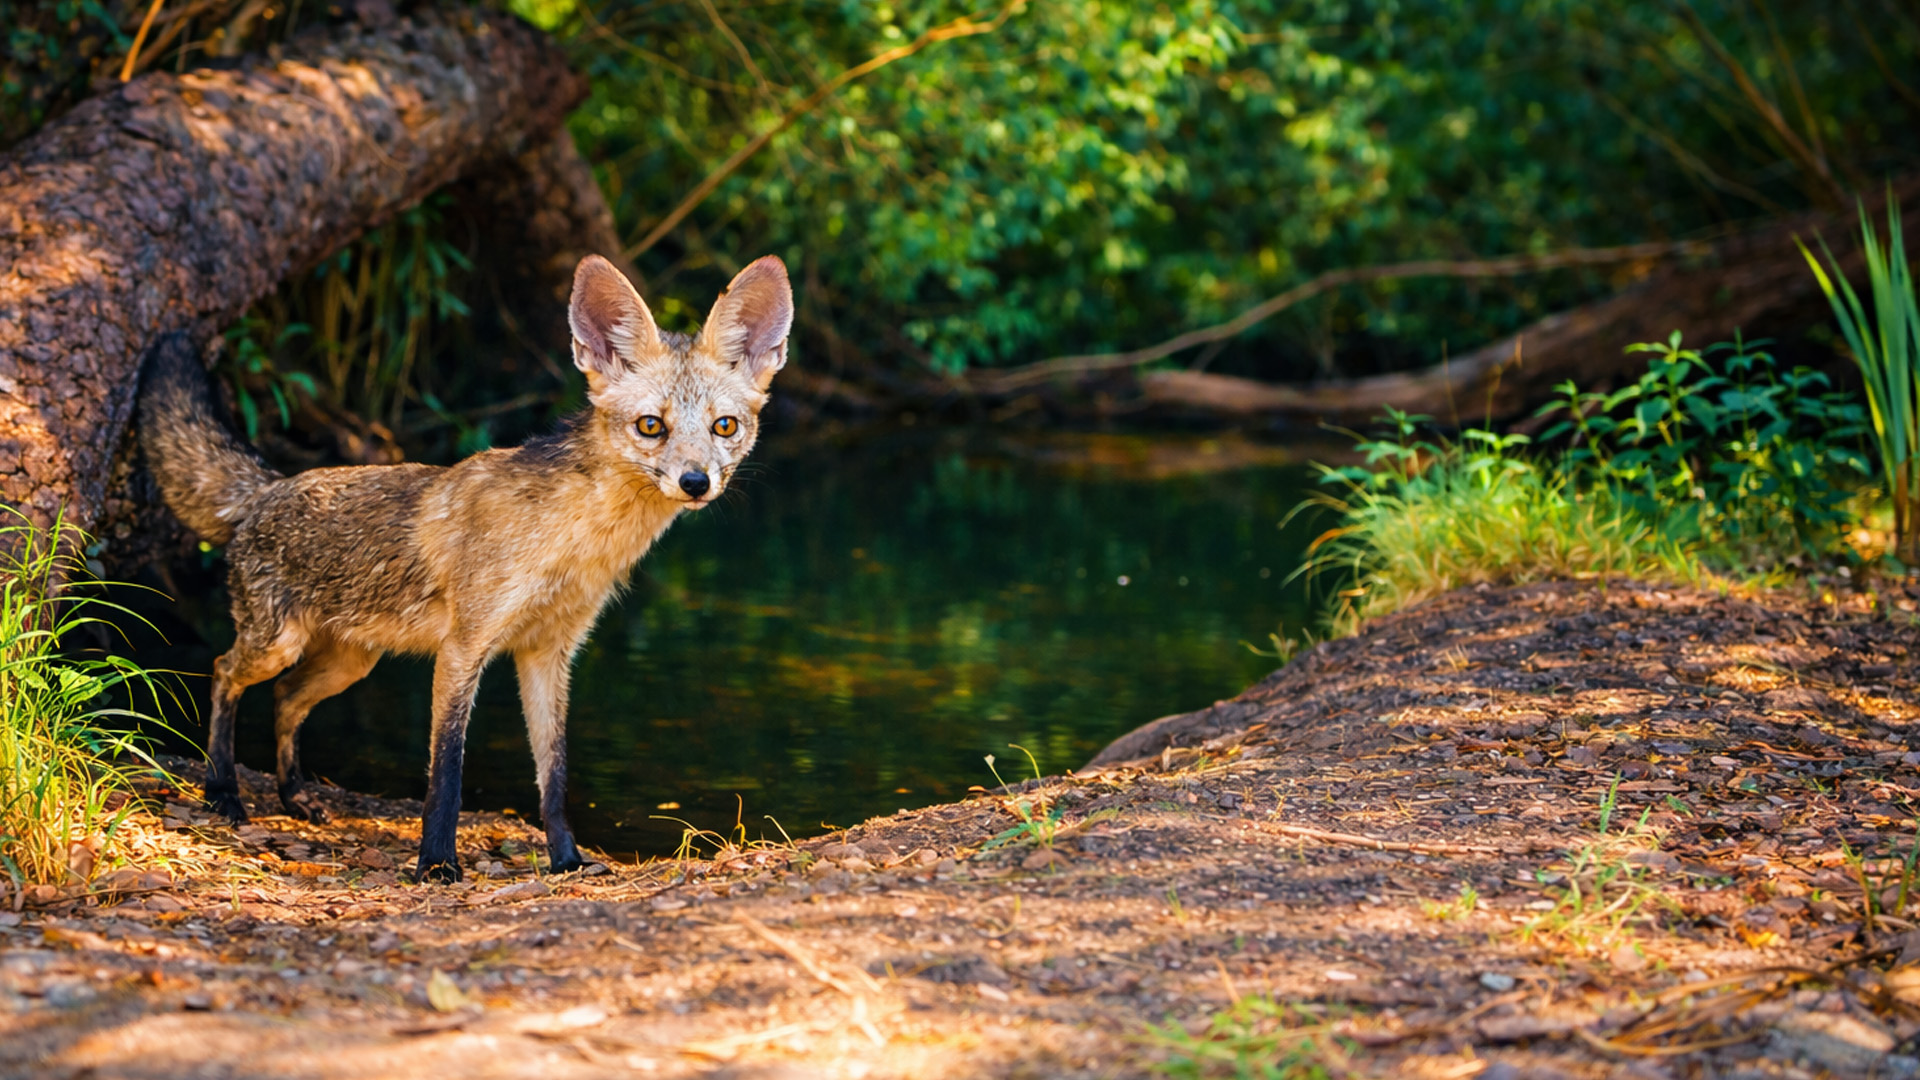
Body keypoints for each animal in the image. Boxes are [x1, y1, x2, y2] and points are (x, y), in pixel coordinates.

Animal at [138, 254, 793, 881]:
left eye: (725, 426)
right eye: (651, 426)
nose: (696, 483)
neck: (575, 544)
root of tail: (267, 488)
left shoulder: (549, 652)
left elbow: (553, 776)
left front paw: (567, 860)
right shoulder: (463, 648)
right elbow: (446, 774)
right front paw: (436, 864)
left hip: (349, 662)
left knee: (284, 698)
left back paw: (294, 795)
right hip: (278, 644)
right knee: (224, 673)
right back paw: (223, 790)